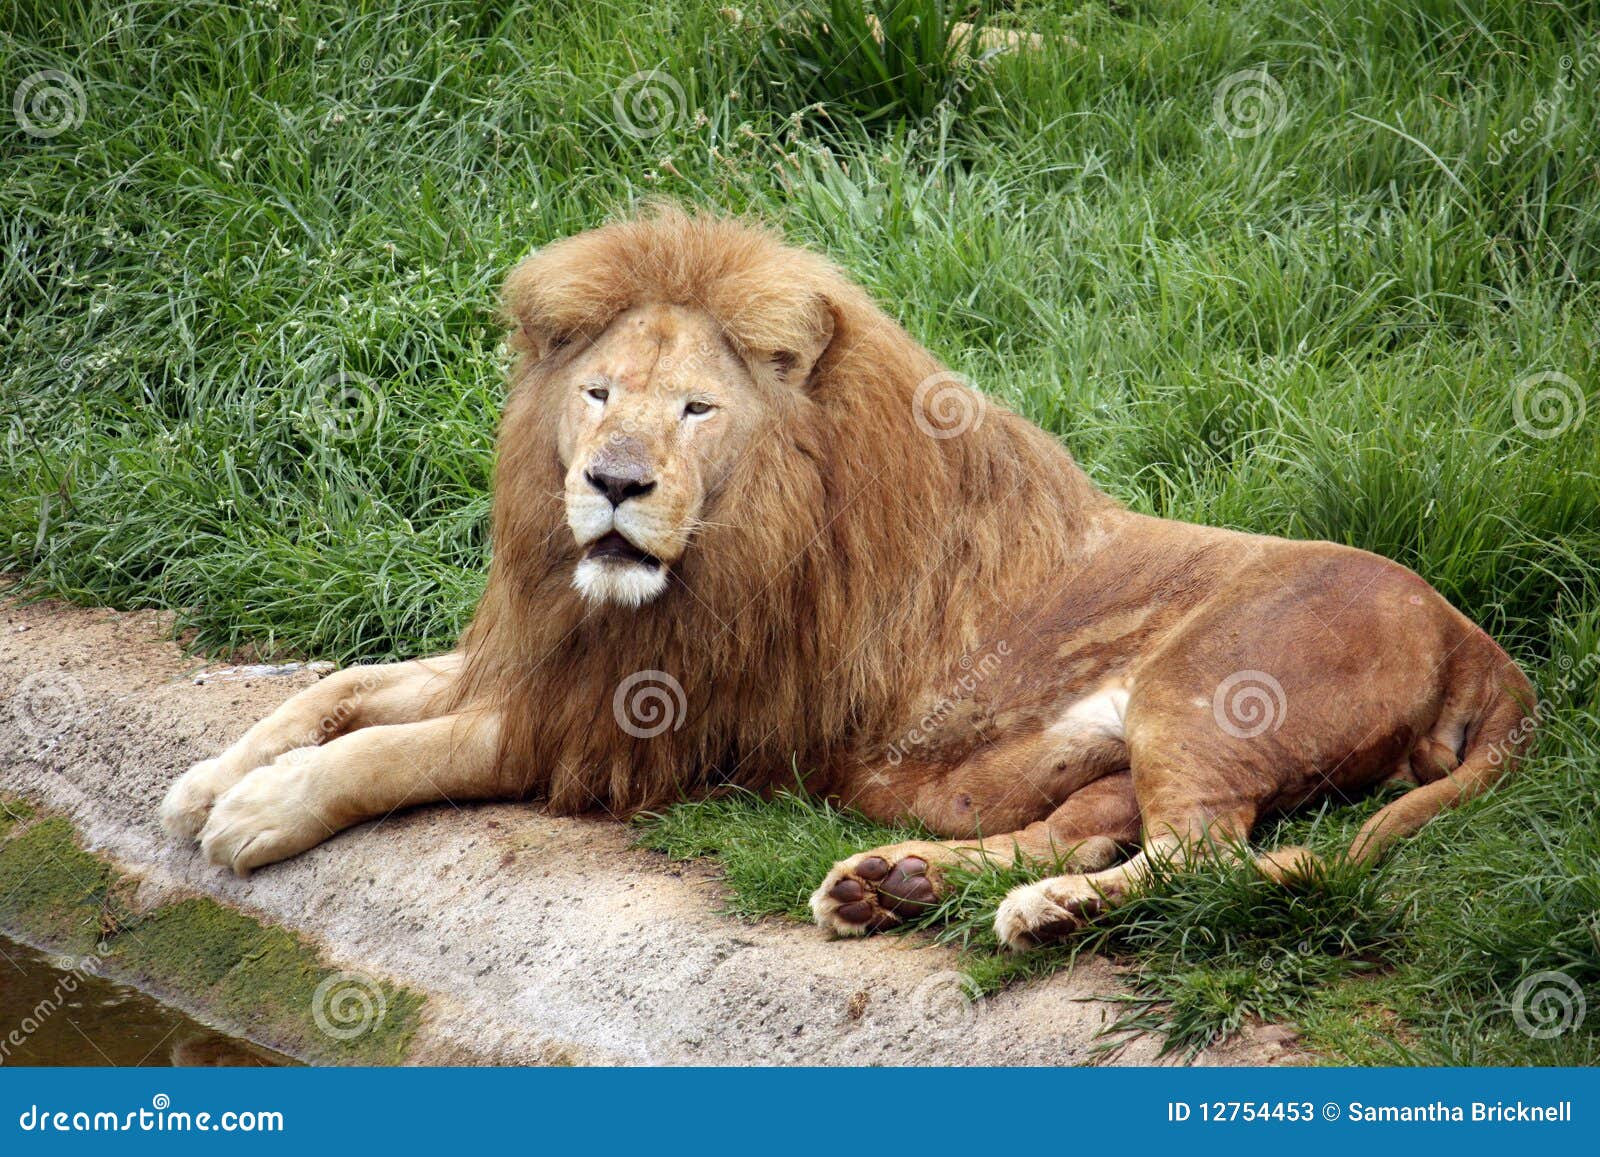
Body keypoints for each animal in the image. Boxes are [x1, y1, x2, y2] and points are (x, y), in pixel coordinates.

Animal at [161, 205, 1535, 951]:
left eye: (697, 408)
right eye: (597, 391)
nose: (612, 482)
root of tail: (1481, 642)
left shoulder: (640, 722)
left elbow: (403, 748)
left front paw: (263, 810)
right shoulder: (554, 655)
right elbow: (343, 688)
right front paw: (204, 779)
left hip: (1199, 690)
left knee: (1207, 858)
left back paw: (1039, 915)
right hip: (1111, 752)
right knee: (1100, 827)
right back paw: (893, 884)